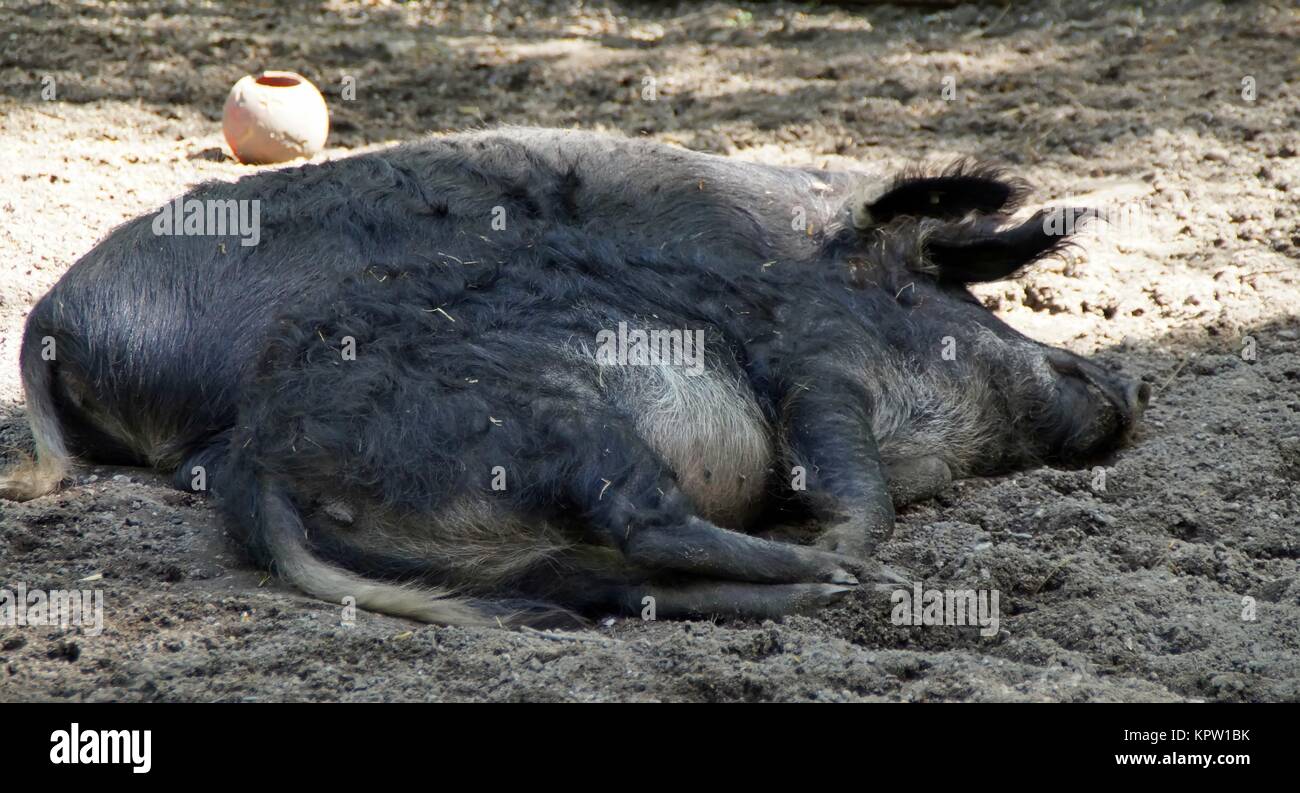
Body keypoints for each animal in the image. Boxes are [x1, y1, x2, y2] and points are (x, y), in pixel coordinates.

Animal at [213, 212, 1148, 626]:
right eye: (976, 302)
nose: (1136, 387)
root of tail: (260, 467)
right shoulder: (818, 372)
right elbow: (856, 486)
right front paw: (852, 547)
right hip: (559, 418)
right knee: (646, 523)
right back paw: (857, 577)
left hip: (524, 561)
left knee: (633, 585)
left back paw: (825, 589)